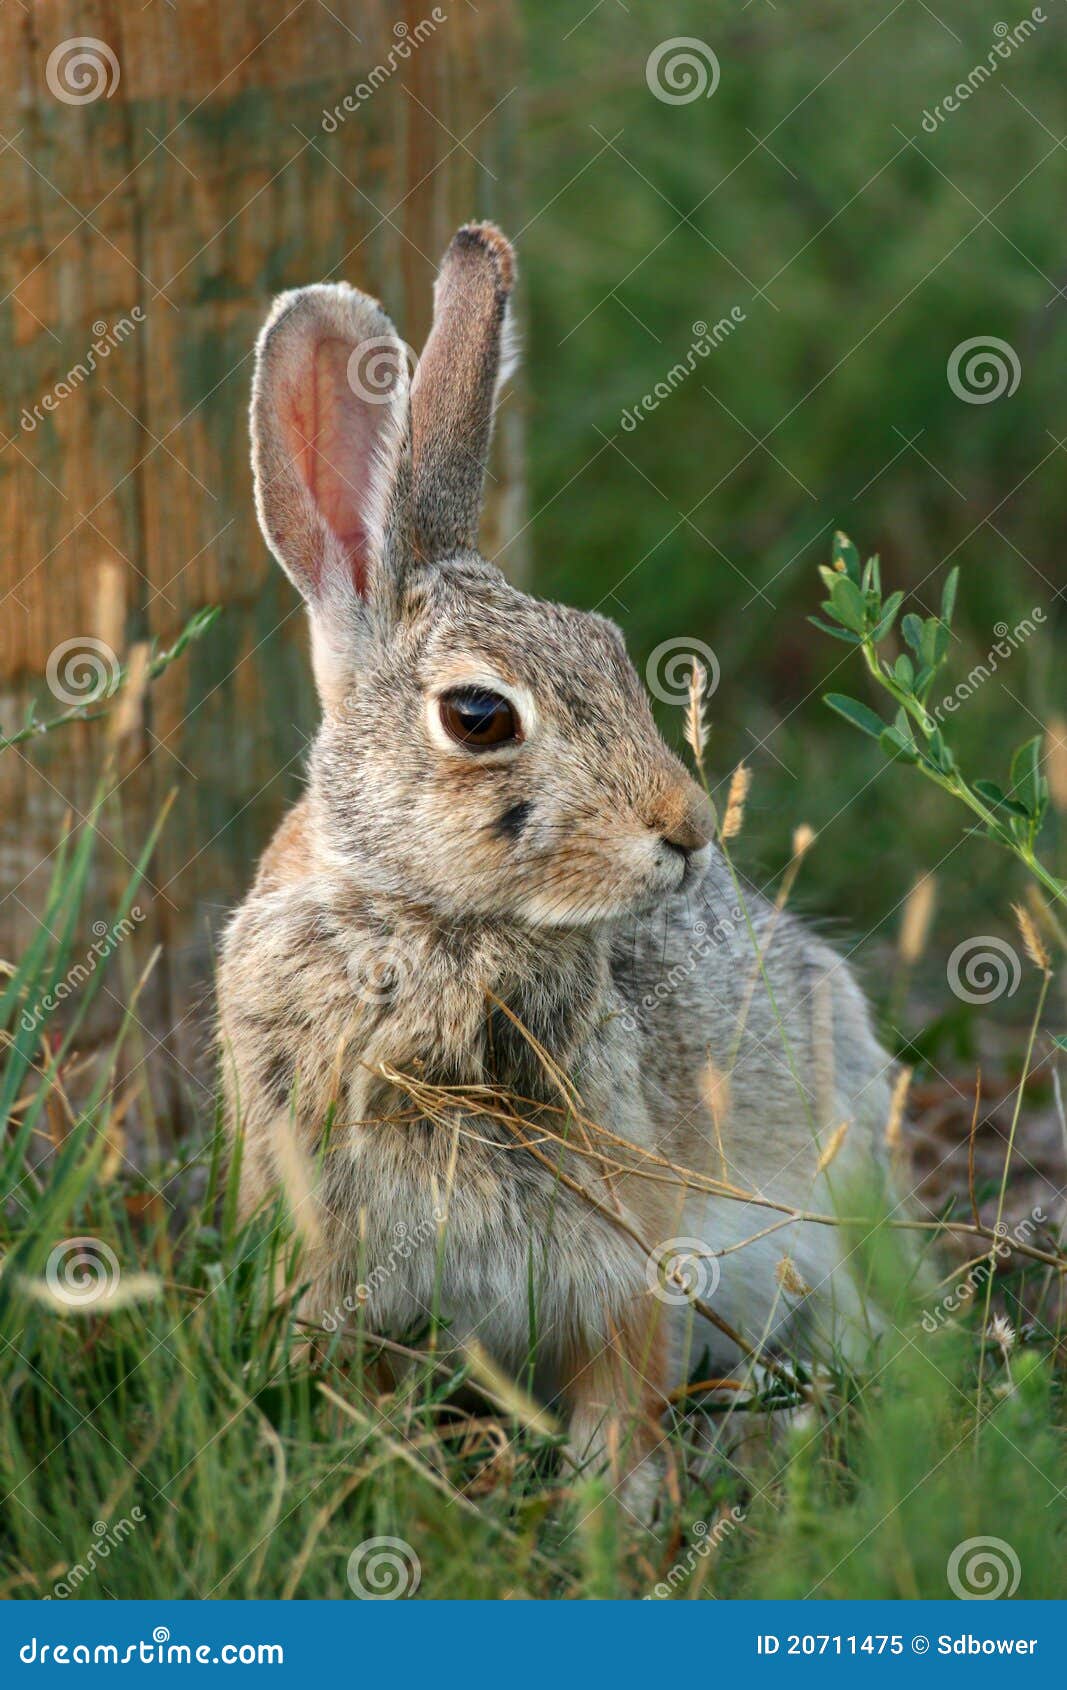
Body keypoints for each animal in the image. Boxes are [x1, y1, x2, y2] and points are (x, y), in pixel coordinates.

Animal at [218, 222, 894, 1510]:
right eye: (478, 715)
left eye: (611, 649)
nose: (687, 828)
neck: (423, 924)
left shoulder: (626, 1241)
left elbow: (621, 1377)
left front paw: (605, 1505)